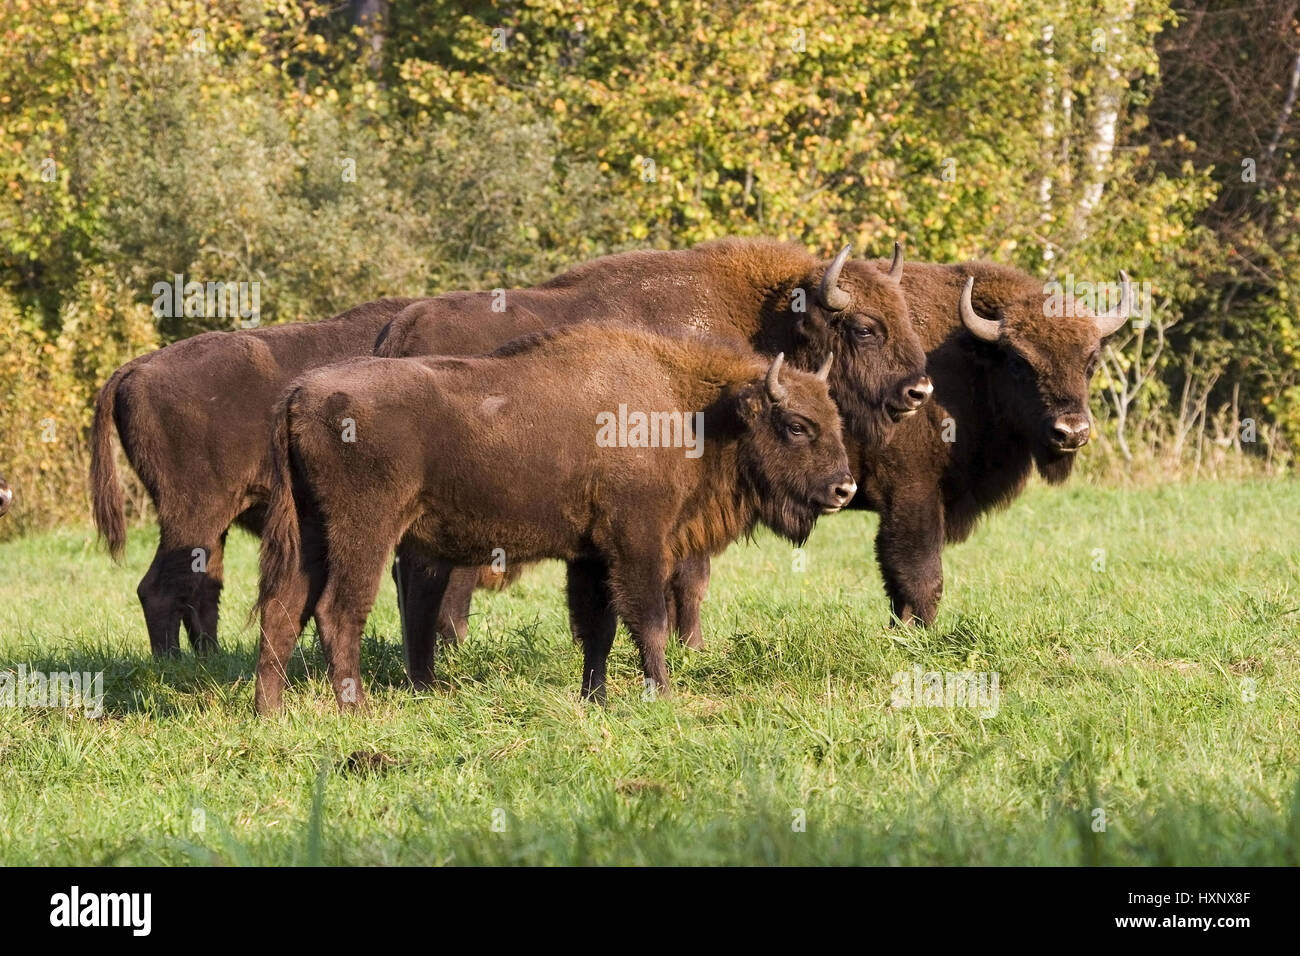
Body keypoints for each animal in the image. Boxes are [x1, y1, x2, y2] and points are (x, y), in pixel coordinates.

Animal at [90, 298, 419, 656]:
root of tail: (136, 368)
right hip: (192, 513)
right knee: (160, 588)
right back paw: (173, 661)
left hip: (212, 524)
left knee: (202, 587)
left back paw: (211, 656)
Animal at [253, 325, 854, 712]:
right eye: (796, 425)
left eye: (835, 418)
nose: (843, 488)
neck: (691, 410)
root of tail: (298, 395)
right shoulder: (637, 543)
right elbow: (649, 620)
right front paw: (661, 695)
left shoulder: (591, 555)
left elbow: (597, 628)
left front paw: (596, 699)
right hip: (365, 531)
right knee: (338, 612)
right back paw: (356, 710)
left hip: (310, 532)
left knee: (282, 611)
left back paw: (271, 714)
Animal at [374, 238, 931, 684]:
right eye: (864, 327)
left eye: (905, 314)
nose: (918, 390)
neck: (761, 315)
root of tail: (398, 332)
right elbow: (687, 579)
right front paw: (692, 648)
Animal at [663, 259, 1134, 629]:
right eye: (1020, 362)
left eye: (1091, 361)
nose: (1071, 431)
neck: (971, 359)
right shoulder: (912, 492)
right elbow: (920, 573)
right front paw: (918, 635)